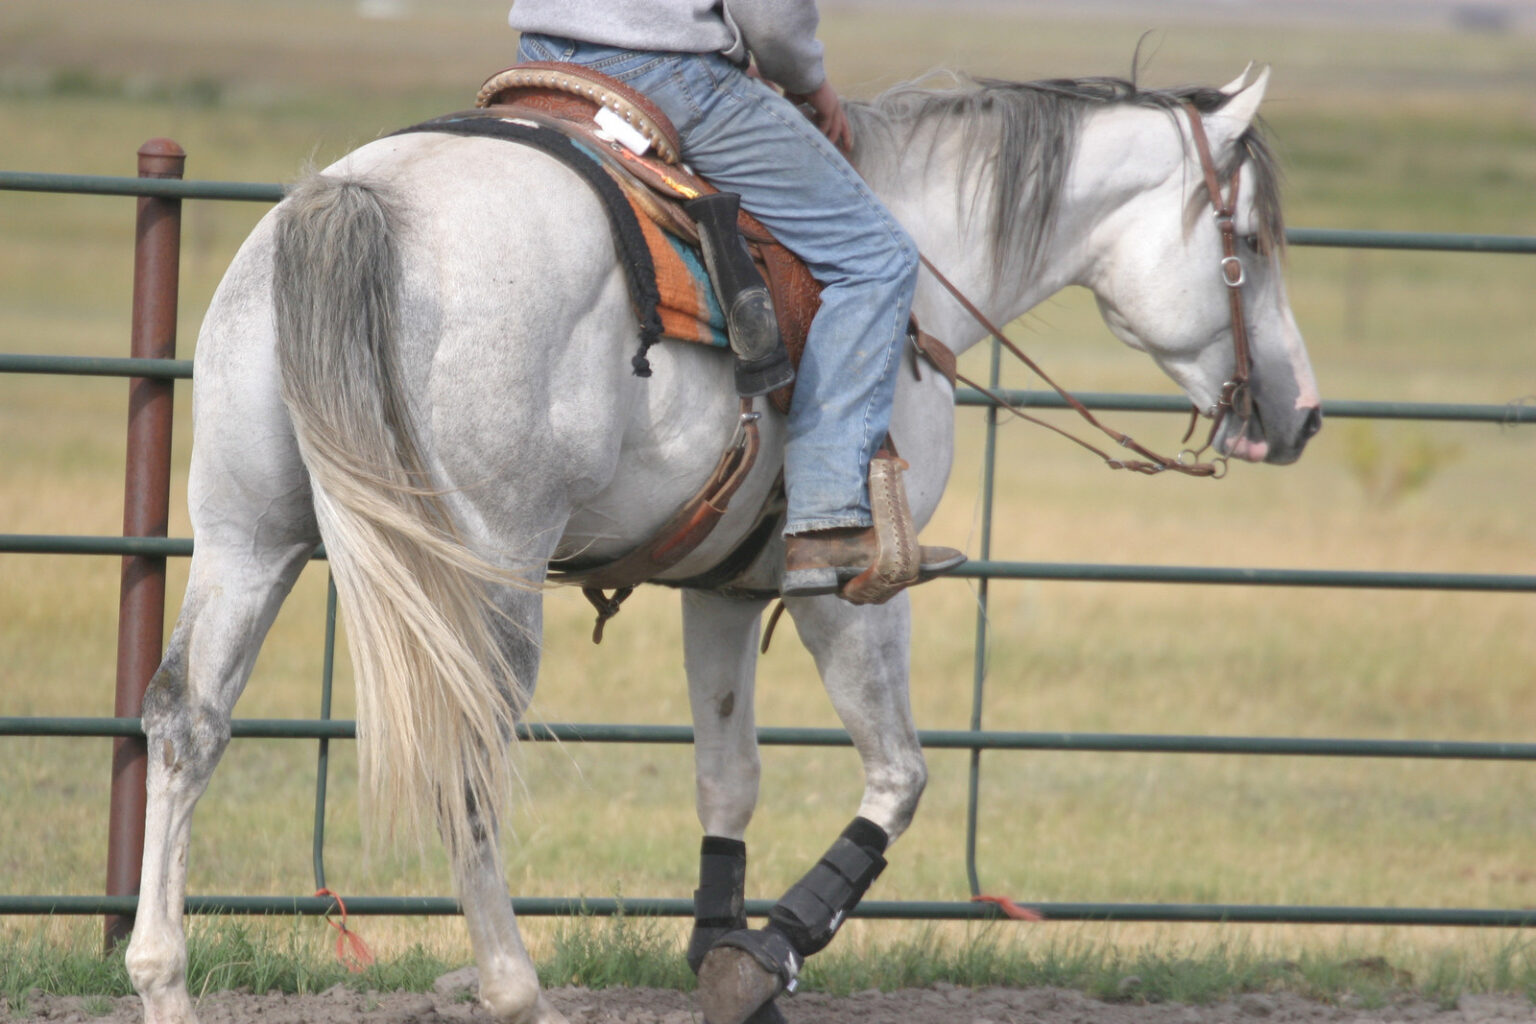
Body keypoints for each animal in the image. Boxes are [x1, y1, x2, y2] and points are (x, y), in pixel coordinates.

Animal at [123, 64, 1320, 1024]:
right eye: (1254, 242)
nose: (1301, 413)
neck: (920, 260)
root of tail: (354, 199)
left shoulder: (726, 590)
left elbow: (727, 777)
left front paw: (716, 946)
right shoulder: (852, 585)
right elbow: (899, 774)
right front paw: (771, 951)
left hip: (246, 535)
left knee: (188, 720)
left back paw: (162, 977)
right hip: (486, 568)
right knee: (463, 743)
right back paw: (512, 984)